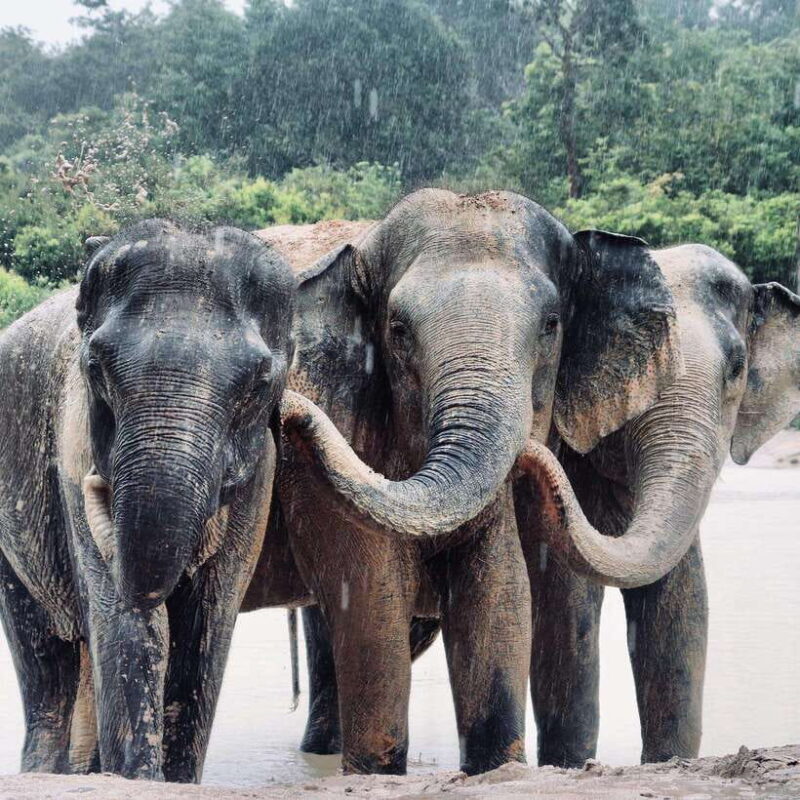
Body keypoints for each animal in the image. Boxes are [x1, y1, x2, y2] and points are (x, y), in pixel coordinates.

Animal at [0, 220, 299, 781]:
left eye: (258, 384)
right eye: (96, 366)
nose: (99, 486)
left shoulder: (262, 474)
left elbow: (204, 628)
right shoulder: (72, 444)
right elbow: (127, 625)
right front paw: (137, 778)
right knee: (45, 660)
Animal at [242, 188, 697, 776]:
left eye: (552, 324)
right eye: (397, 330)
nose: (289, 413)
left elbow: (498, 595)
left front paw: (494, 768)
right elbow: (373, 593)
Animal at [518, 243, 800, 767]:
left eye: (736, 369)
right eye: (639, 370)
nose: (524, 451)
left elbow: (682, 602)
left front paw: (671, 760)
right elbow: (566, 600)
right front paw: (571, 765)